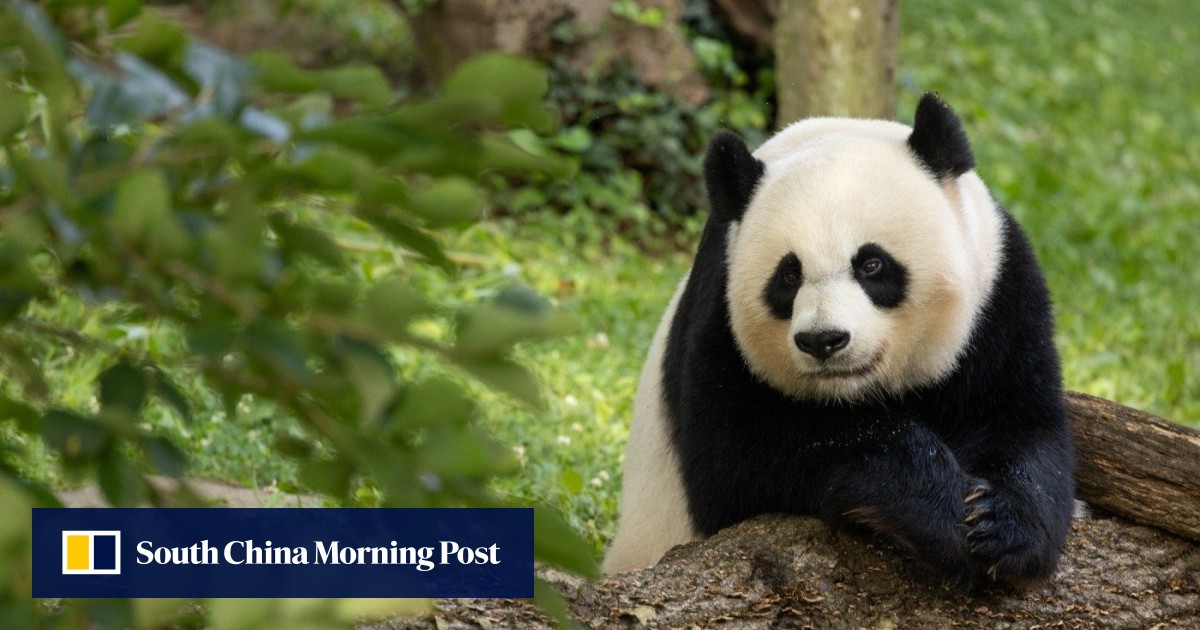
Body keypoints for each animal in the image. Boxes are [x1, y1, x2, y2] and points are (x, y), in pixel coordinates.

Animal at [603, 93, 1076, 588]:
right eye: (788, 275)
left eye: (871, 264)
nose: (823, 340)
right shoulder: (719, 319)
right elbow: (739, 458)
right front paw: (939, 510)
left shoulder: (1000, 296)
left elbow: (1022, 421)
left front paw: (1000, 527)